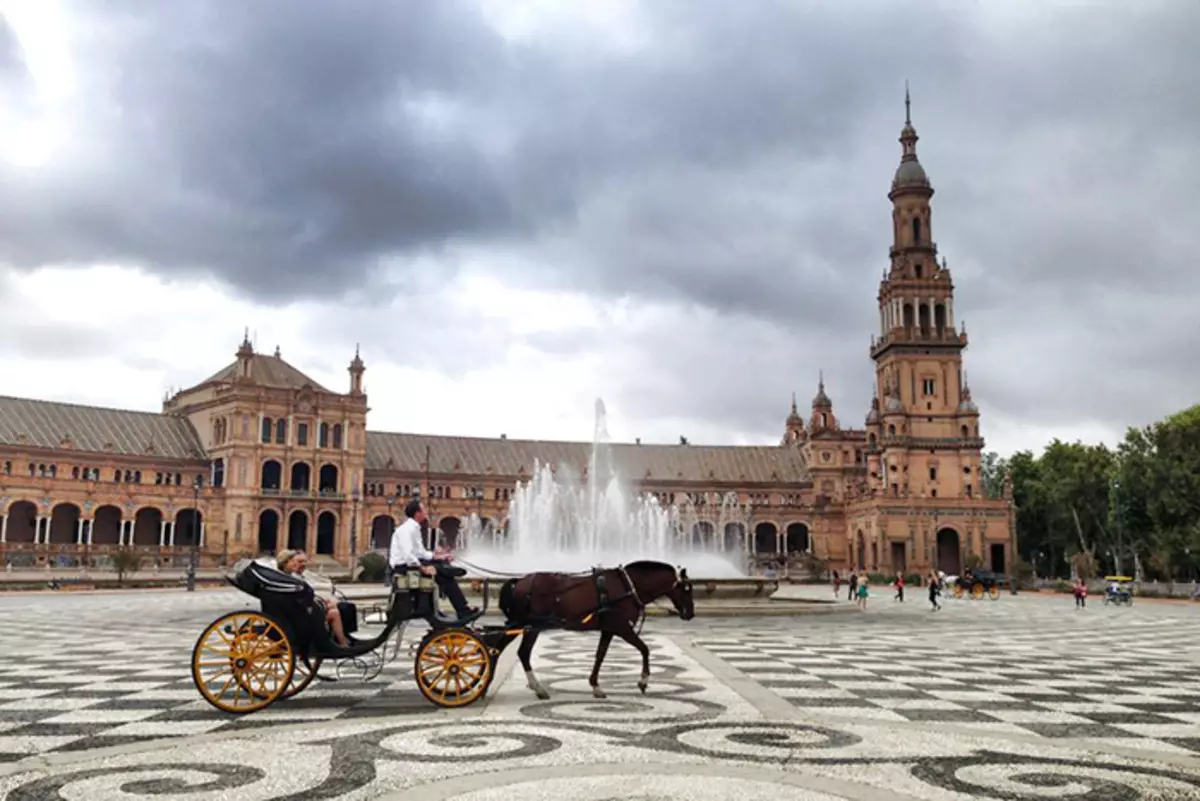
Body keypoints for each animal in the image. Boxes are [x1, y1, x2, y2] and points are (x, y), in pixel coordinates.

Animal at [496, 561, 696, 695]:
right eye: (687, 588)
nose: (691, 613)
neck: (628, 586)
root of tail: (519, 581)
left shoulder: (608, 629)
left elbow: (600, 654)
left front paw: (595, 685)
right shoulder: (622, 628)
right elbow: (644, 648)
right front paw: (643, 680)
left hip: (522, 624)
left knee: (505, 647)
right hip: (531, 626)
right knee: (522, 652)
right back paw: (537, 687)